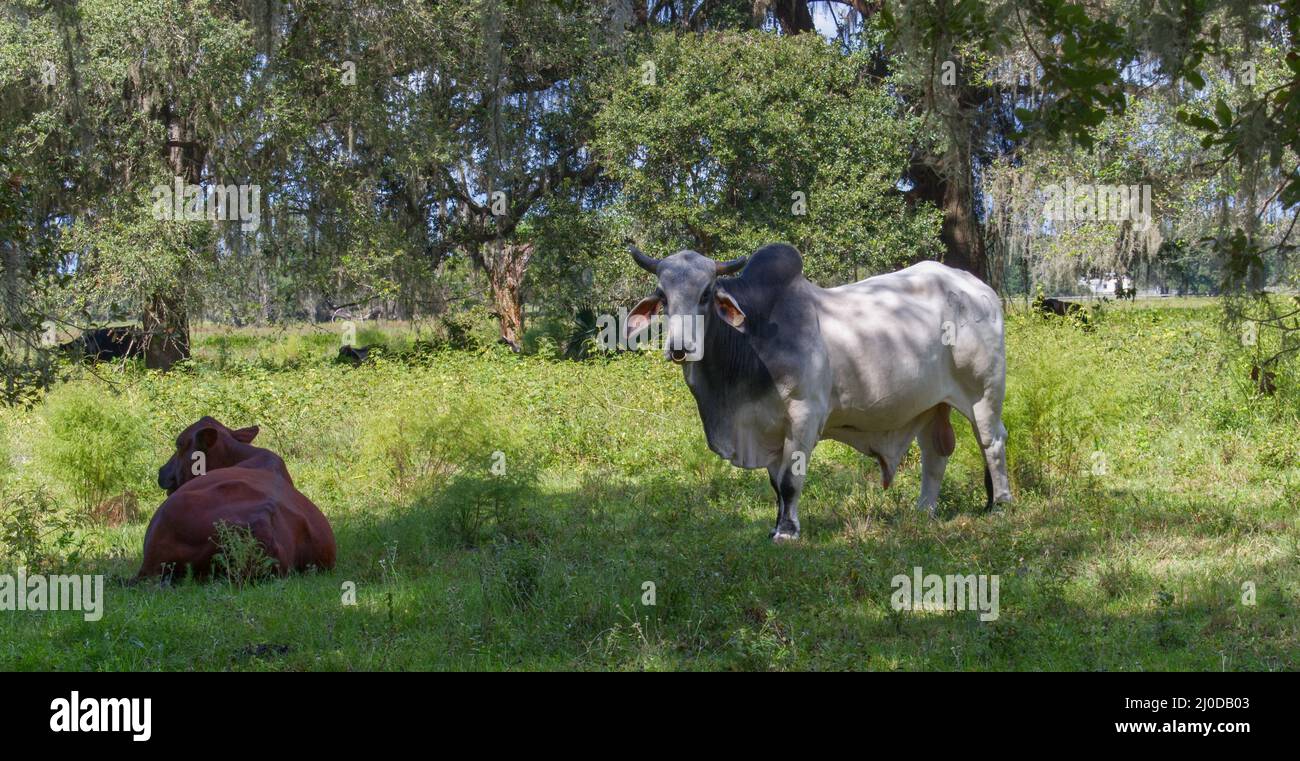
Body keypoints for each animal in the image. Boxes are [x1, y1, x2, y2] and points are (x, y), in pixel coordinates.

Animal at [626, 243, 1011, 541]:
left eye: (706, 293)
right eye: (663, 297)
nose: (679, 348)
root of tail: (980, 288)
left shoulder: (804, 414)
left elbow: (789, 481)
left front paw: (787, 532)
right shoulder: (770, 430)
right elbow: (775, 485)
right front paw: (776, 525)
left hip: (983, 393)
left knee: (991, 441)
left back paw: (1000, 504)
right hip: (931, 404)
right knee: (936, 452)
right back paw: (923, 511)